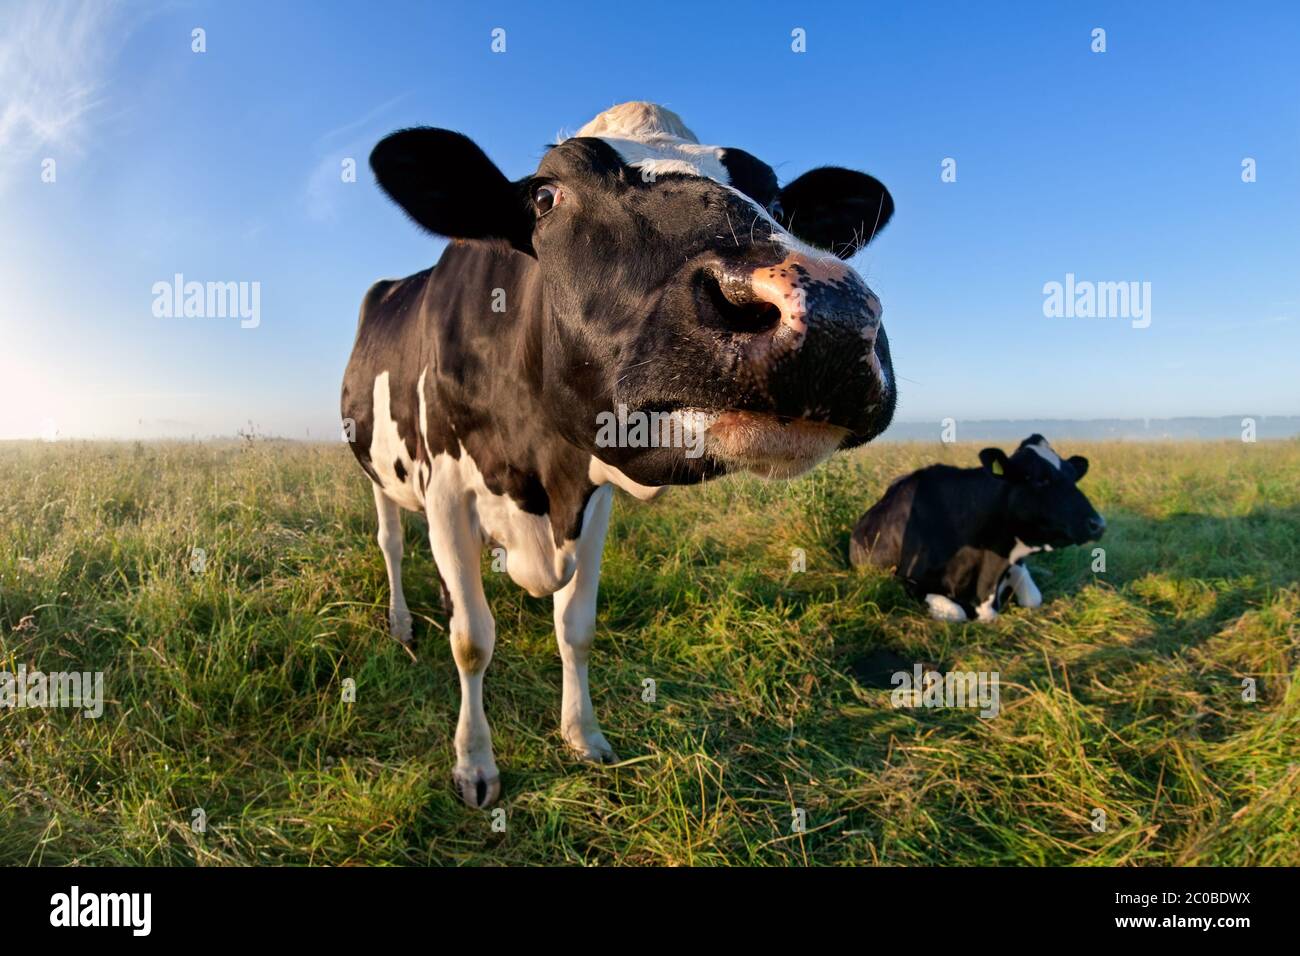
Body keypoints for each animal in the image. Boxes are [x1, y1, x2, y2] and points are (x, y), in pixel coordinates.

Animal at [342, 102, 896, 807]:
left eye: (775, 201)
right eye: (545, 197)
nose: (828, 312)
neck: (543, 471)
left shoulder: (594, 497)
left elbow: (575, 626)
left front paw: (583, 735)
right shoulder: (445, 490)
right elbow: (473, 642)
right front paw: (475, 764)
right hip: (379, 472)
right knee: (390, 542)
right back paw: (403, 623)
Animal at [849, 435, 1105, 622]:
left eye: (1073, 476)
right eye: (1041, 479)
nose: (1098, 524)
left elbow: (1033, 597)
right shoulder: (906, 579)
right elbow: (957, 612)